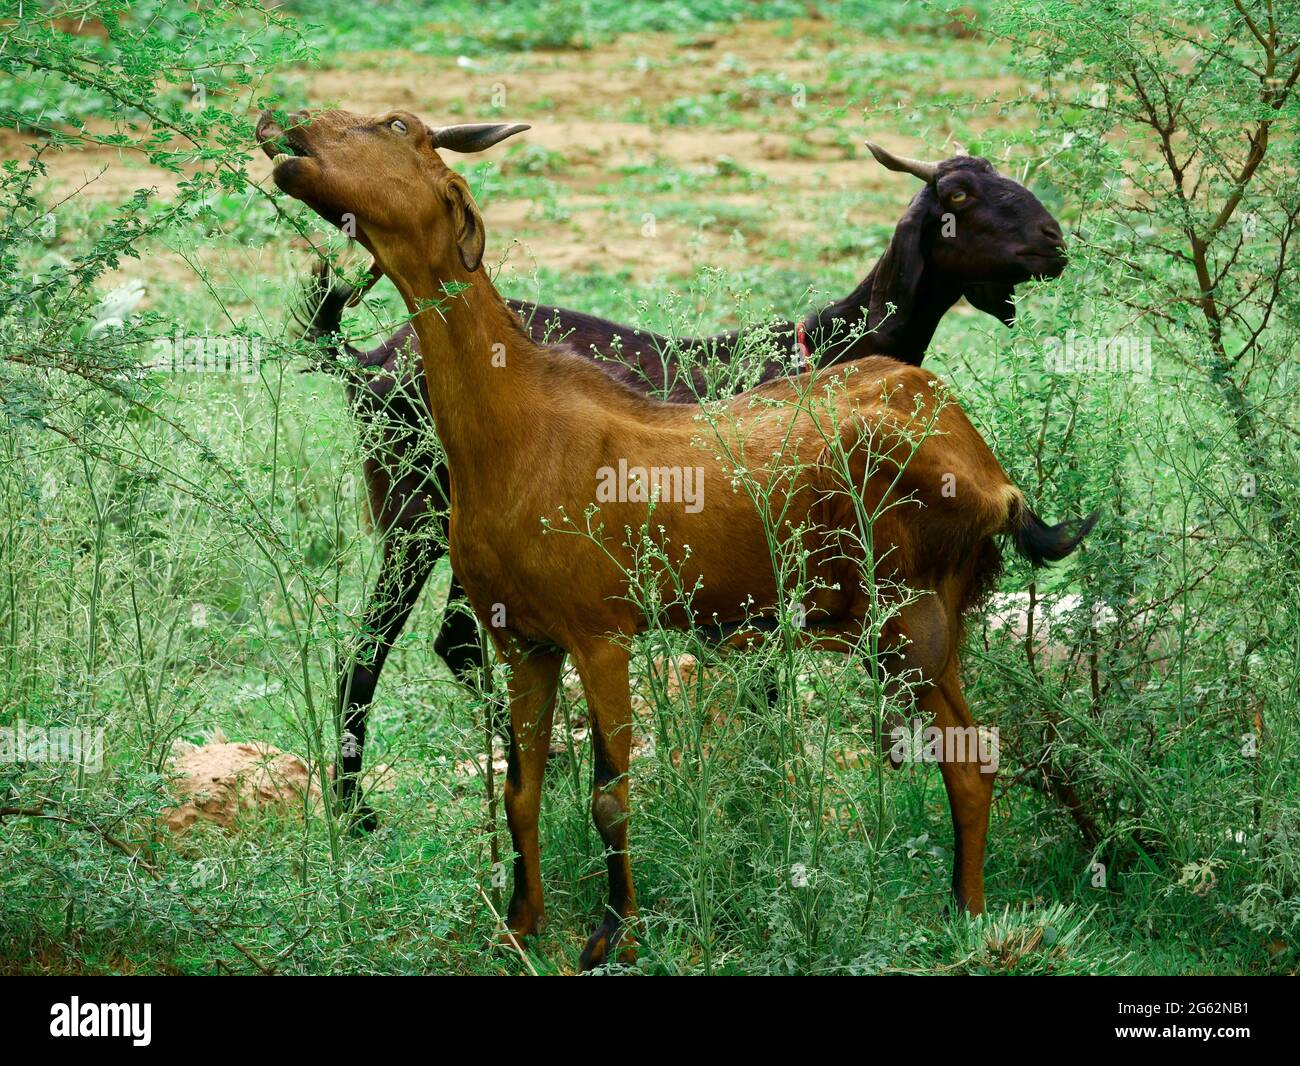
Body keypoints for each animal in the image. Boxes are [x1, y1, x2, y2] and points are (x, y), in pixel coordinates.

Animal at [258, 106, 1094, 968]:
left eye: (396, 125)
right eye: (959, 193)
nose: (284, 125)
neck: (520, 414)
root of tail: (991, 472)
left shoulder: (602, 634)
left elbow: (611, 795)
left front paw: (613, 933)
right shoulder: (527, 640)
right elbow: (522, 790)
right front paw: (519, 924)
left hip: (909, 619)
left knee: (971, 754)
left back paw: (966, 918)